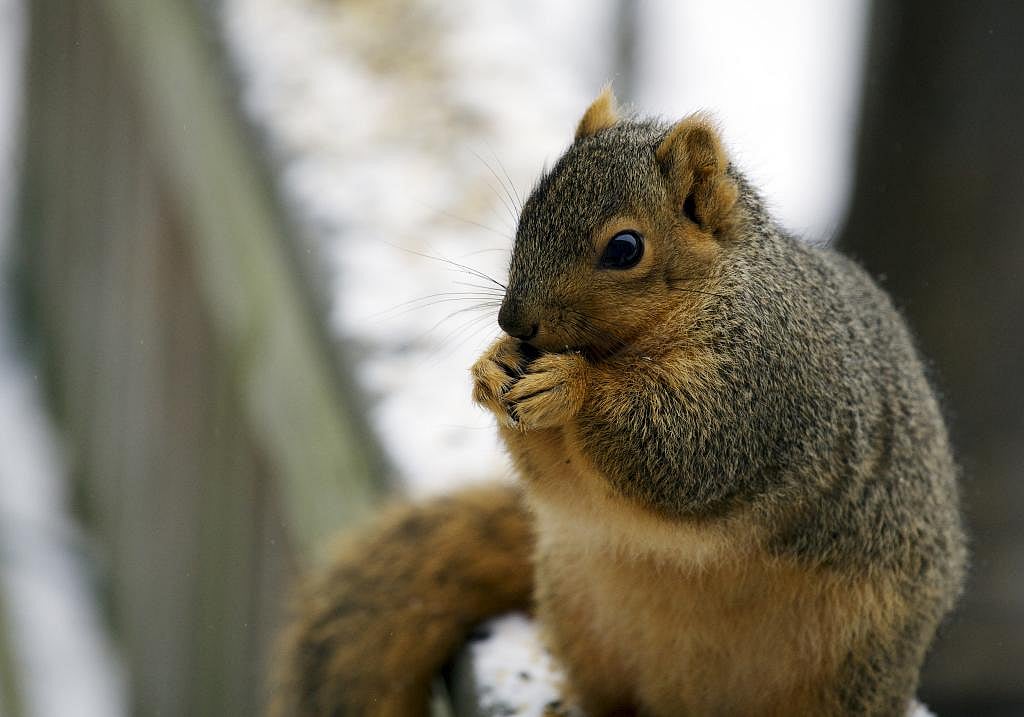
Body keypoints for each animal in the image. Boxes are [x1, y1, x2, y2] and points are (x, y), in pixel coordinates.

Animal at [270, 87, 967, 717]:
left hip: (852, 664)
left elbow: (689, 450)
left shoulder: (763, 383)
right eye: (529, 214)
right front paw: (493, 367)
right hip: (581, 613)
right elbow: (559, 480)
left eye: (624, 248)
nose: (513, 320)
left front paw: (571, 386)